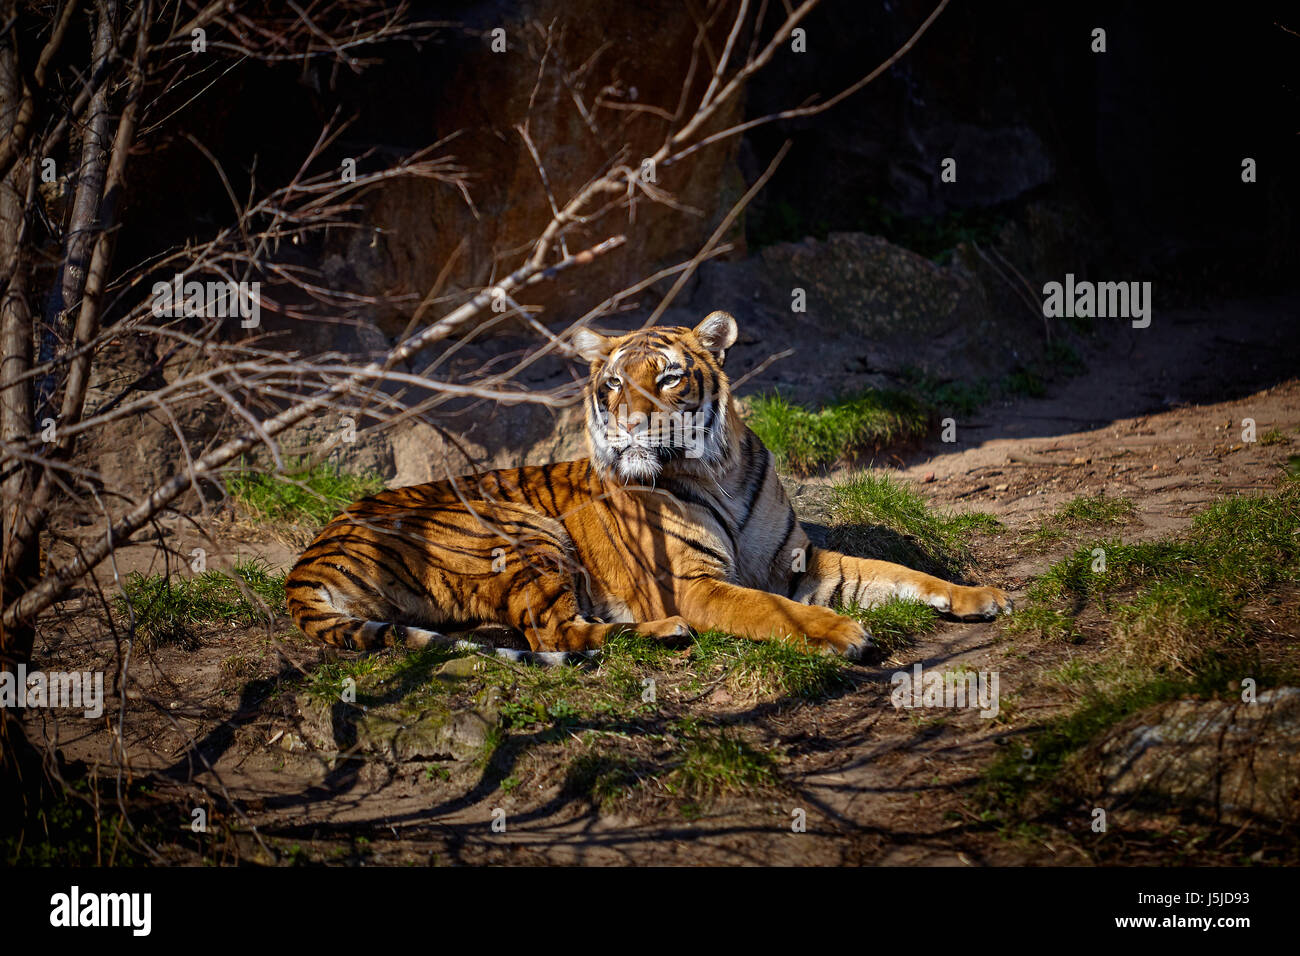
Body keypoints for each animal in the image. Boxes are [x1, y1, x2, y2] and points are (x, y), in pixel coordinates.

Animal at [286, 310, 1012, 664]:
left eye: (666, 377)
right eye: (610, 384)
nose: (630, 424)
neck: (717, 472)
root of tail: (310, 555)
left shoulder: (796, 562)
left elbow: (896, 571)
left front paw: (980, 596)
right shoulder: (691, 585)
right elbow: (771, 611)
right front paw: (841, 633)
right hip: (521, 529)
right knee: (552, 634)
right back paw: (663, 635)